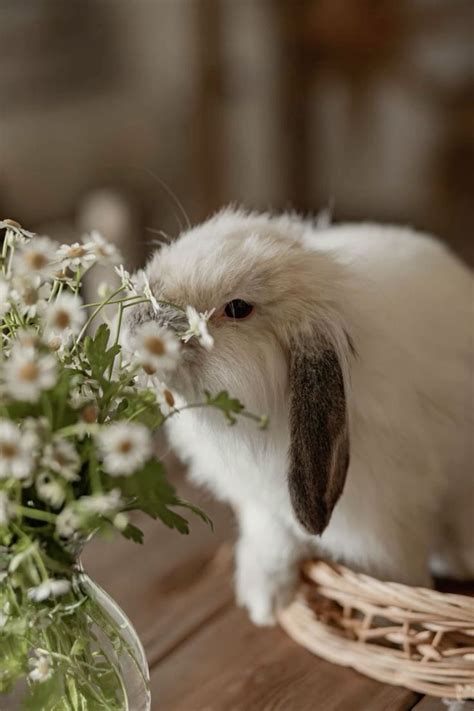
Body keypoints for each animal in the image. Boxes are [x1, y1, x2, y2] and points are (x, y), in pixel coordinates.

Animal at [125, 208, 473, 626]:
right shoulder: (265, 505)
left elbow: (390, 575)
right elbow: (274, 540)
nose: (135, 322)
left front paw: (386, 616)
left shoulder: (383, 526)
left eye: (238, 308)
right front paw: (264, 600)